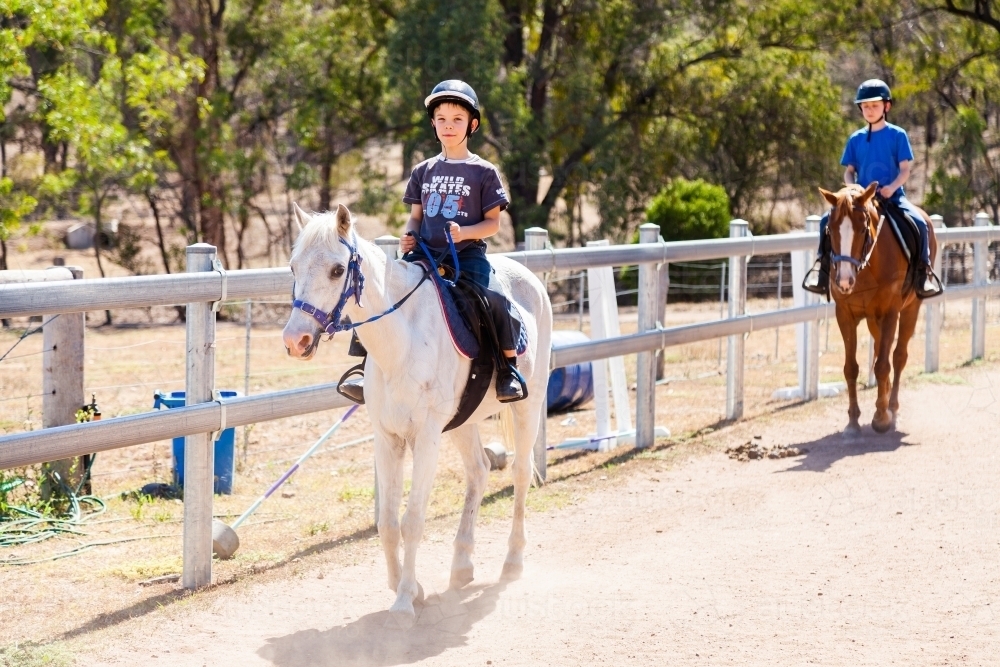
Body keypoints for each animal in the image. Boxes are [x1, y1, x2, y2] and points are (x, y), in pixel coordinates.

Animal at [281, 203, 552, 622]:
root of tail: (529, 279)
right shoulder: (387, 437)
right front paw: (406, 588)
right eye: (294, 267)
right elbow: (388, 523)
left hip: (529, 405)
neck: (400, 343)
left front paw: (406, 598)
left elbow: (412, 521)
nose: (296, 341)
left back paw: (512, 562)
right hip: (462, 422)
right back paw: (461, 566)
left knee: (522, 474)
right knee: (479, 471)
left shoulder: (425, 438)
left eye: (338, 270)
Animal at [819, 182, 938, 436]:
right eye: (830, 230)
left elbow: (883, 365)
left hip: (910, 309)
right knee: (880, 351)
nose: (845, 280)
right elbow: (851, 368)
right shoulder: (845, 315)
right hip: (874, 320)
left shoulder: (891, 312)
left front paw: (881, 417)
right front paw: (853, 421)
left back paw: (892, 407)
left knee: (899, 356)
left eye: (863, 229)